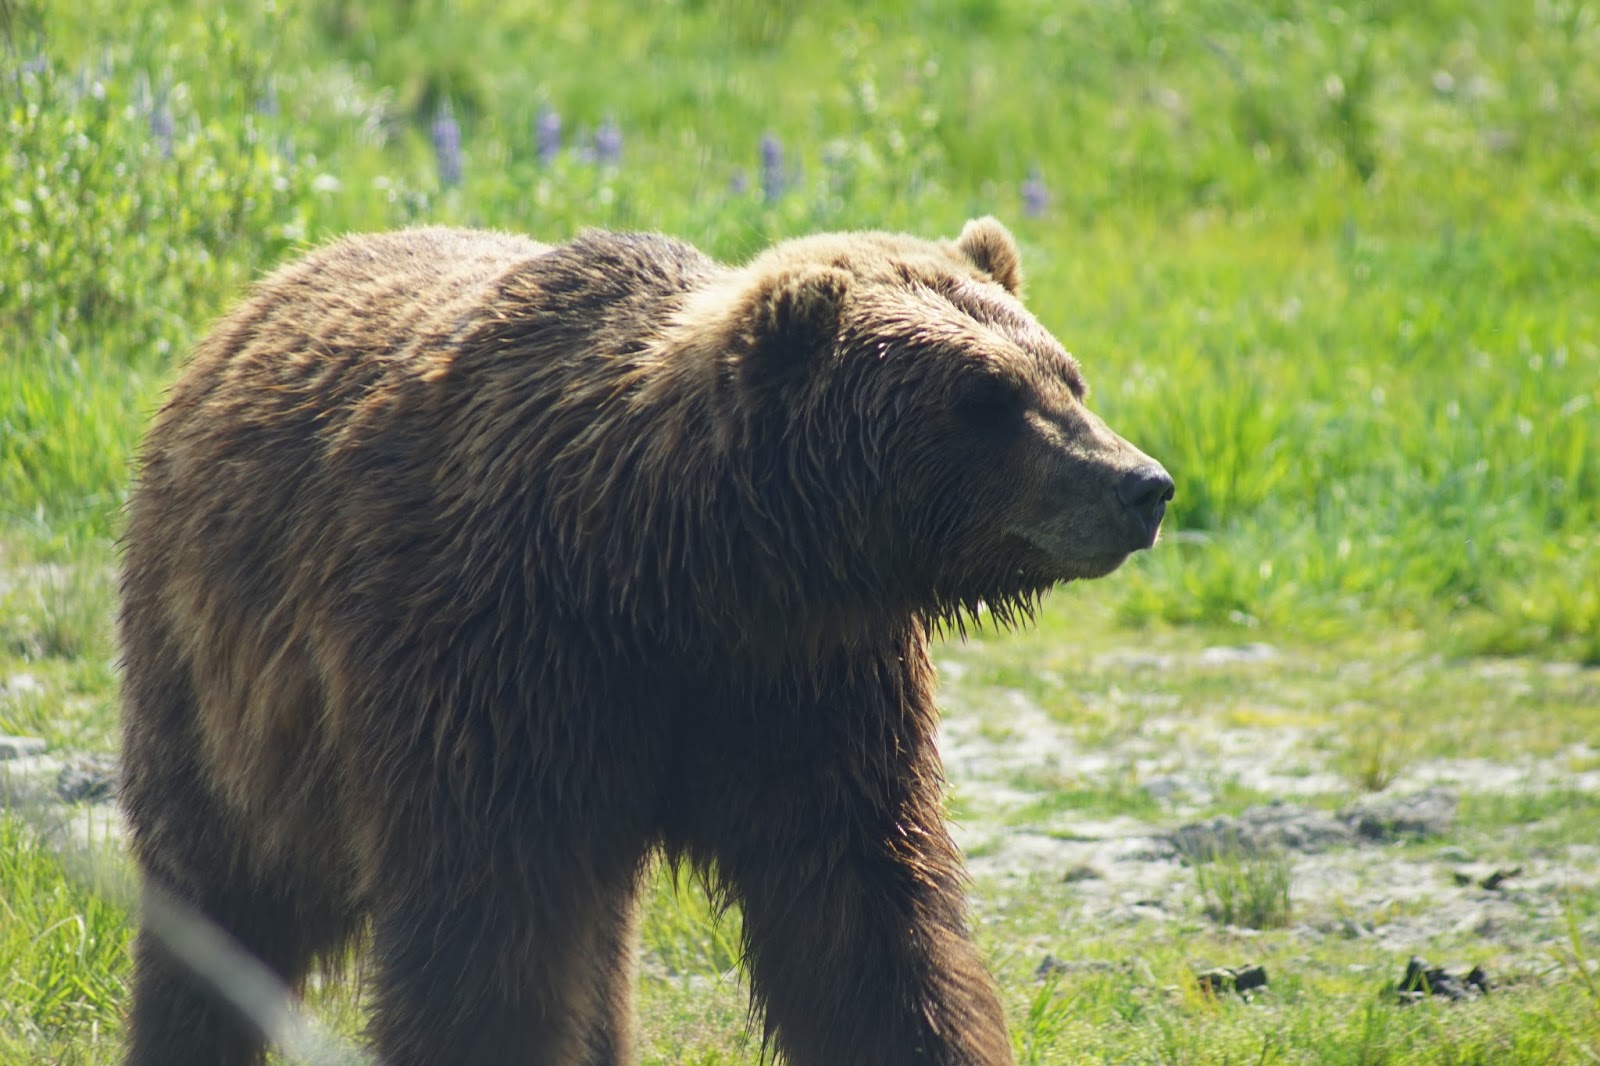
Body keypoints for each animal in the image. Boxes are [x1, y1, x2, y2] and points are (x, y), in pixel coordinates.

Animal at [118, 218, 1172, 1066]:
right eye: (984, 400)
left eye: (1066, 378)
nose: (1143, 485)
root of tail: (257, 297)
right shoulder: (501, 660)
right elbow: (492, 927)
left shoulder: (801, 685)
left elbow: (866, 913)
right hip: (216, 672)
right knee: (218, 890)